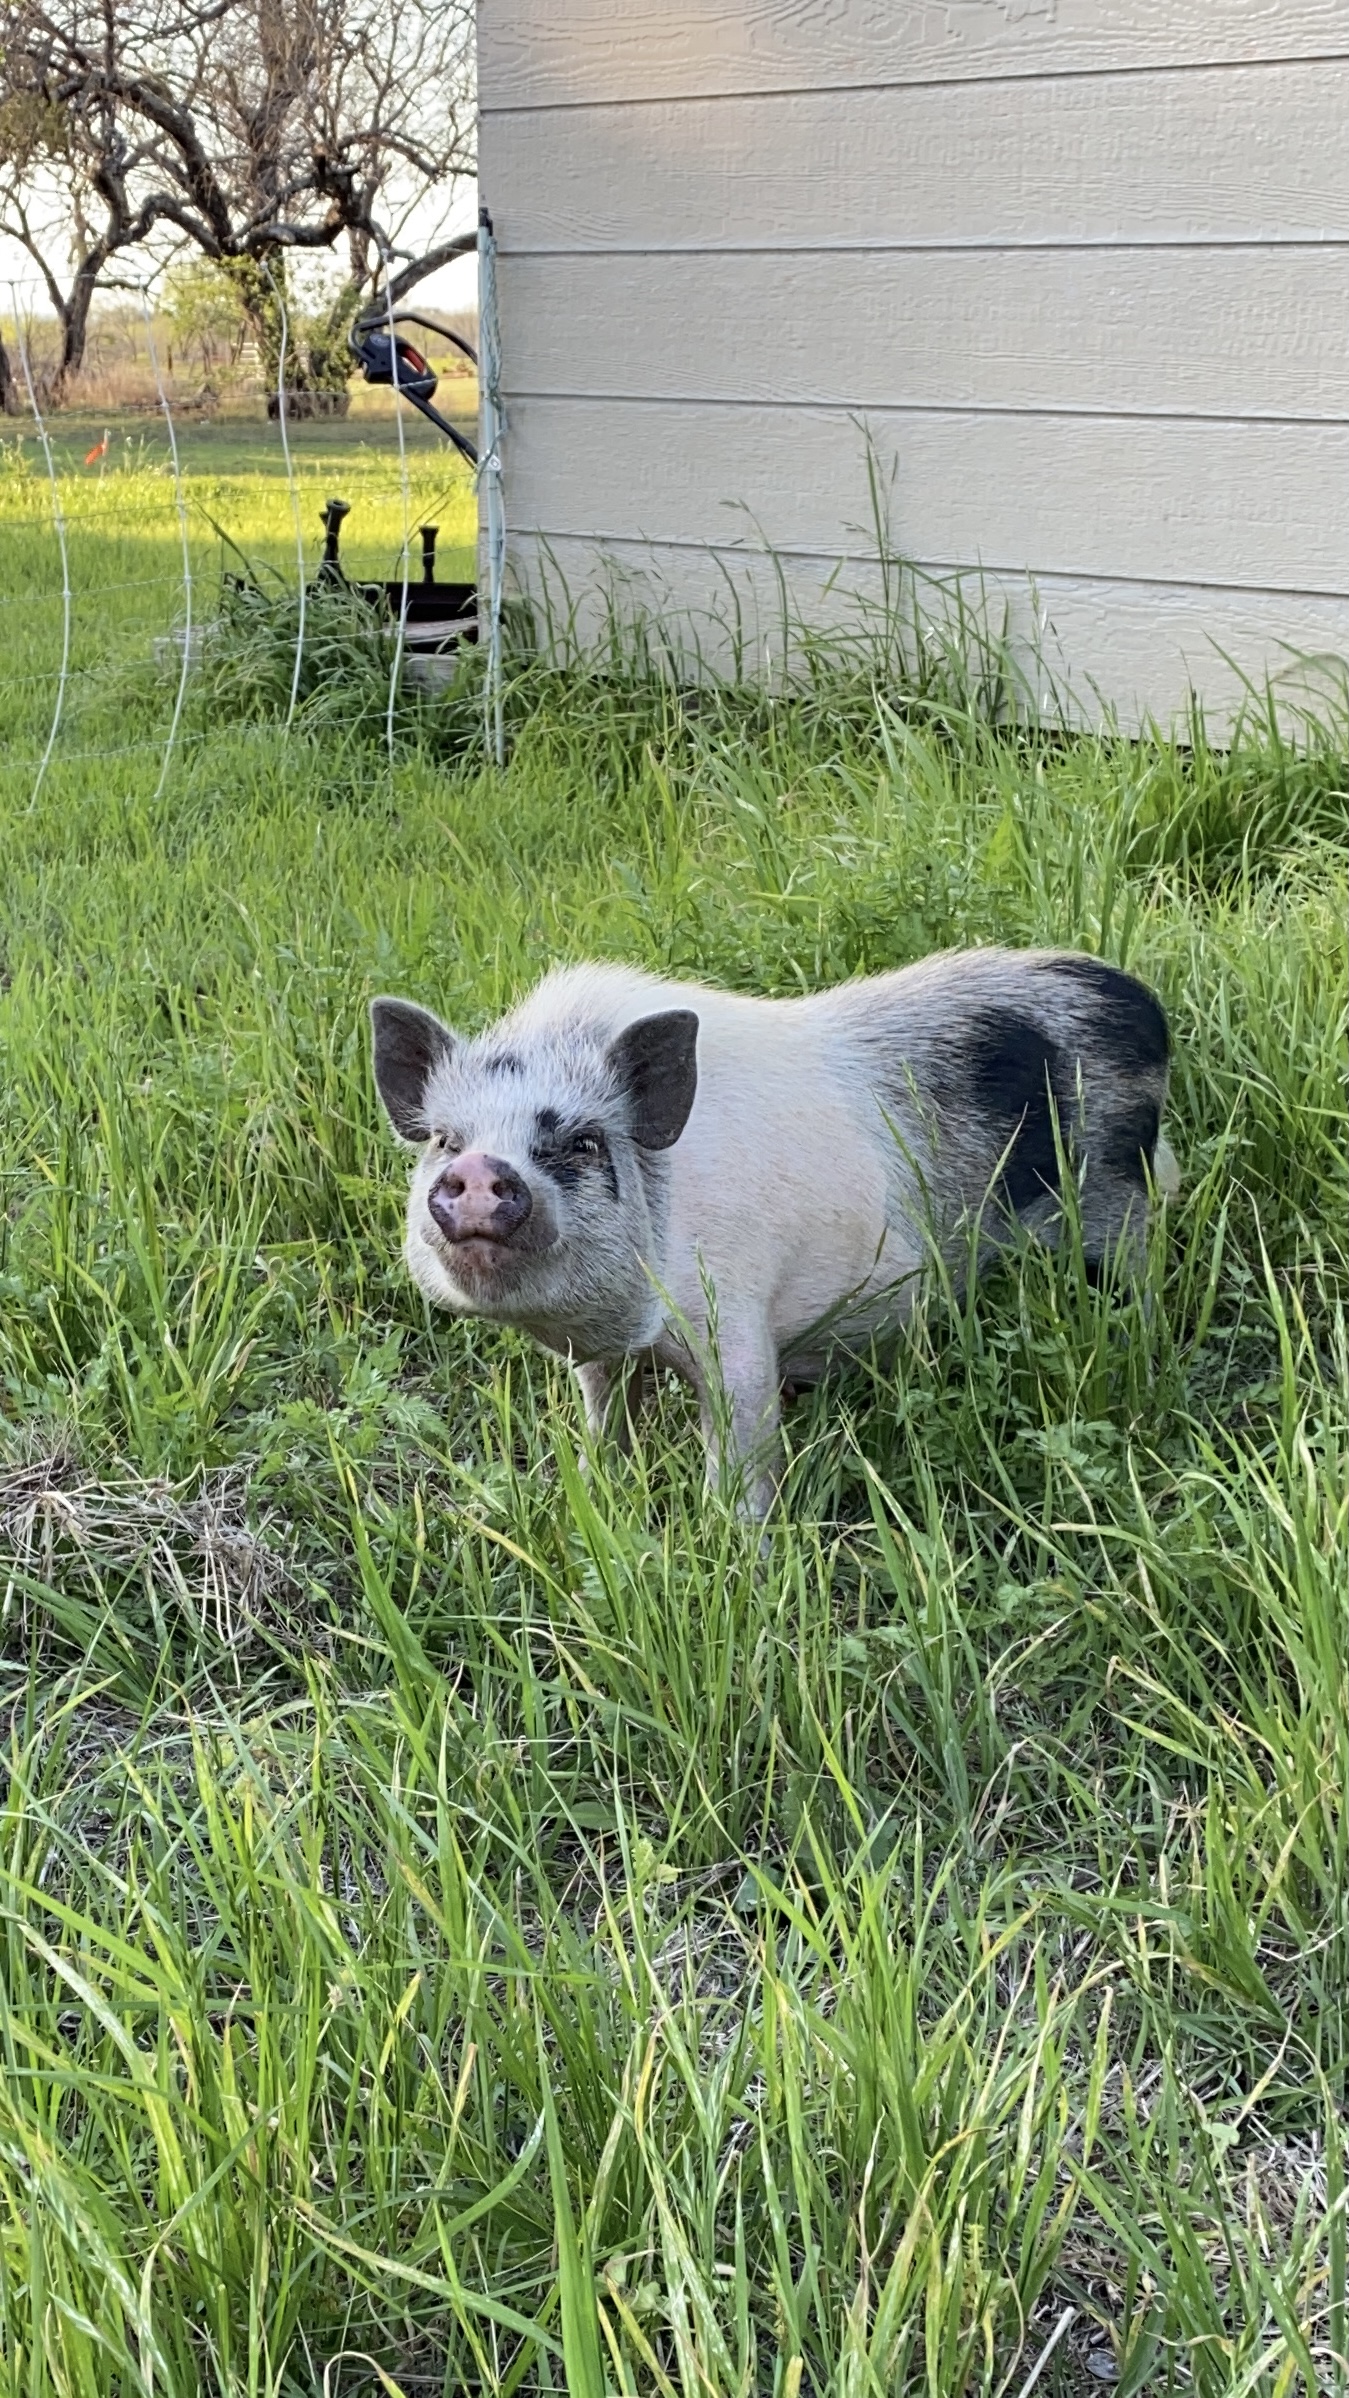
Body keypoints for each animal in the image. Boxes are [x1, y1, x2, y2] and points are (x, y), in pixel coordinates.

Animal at [371, 950, 1177, 1517]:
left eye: (582, 1143)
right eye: (444, 1140)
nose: (479, 1168)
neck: (623, 1319)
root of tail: (1139, 1005)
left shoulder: (735, 1318)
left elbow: (742, 1435)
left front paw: (734, 1546)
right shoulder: (602, 1357)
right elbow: (605, 1413)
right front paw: (602, 1489)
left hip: (1115, 1203)